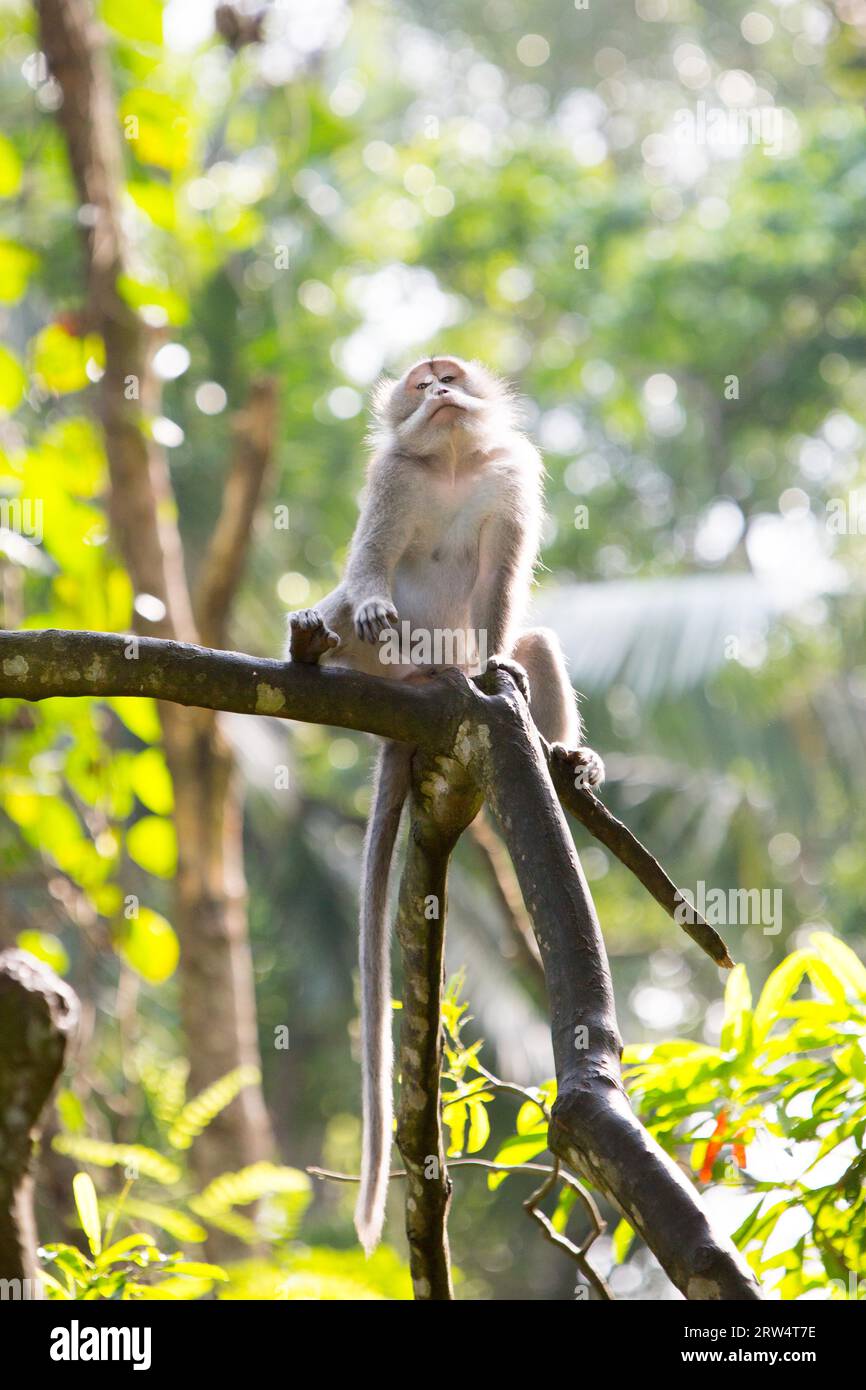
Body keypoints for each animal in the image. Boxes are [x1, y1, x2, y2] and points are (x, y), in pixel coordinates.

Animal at [284, 355, 603, 1254]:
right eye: (419, 384)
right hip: (381, 666)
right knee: (354, 613)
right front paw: (354, 606)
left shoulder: (513, 473)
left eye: (448, 374)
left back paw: (555, 745)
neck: (456, 460)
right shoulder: (391, 476)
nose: (438, 390)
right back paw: (325, 647)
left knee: (533, 648)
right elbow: (371, 562)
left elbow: (502, 586)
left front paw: (511, 673)